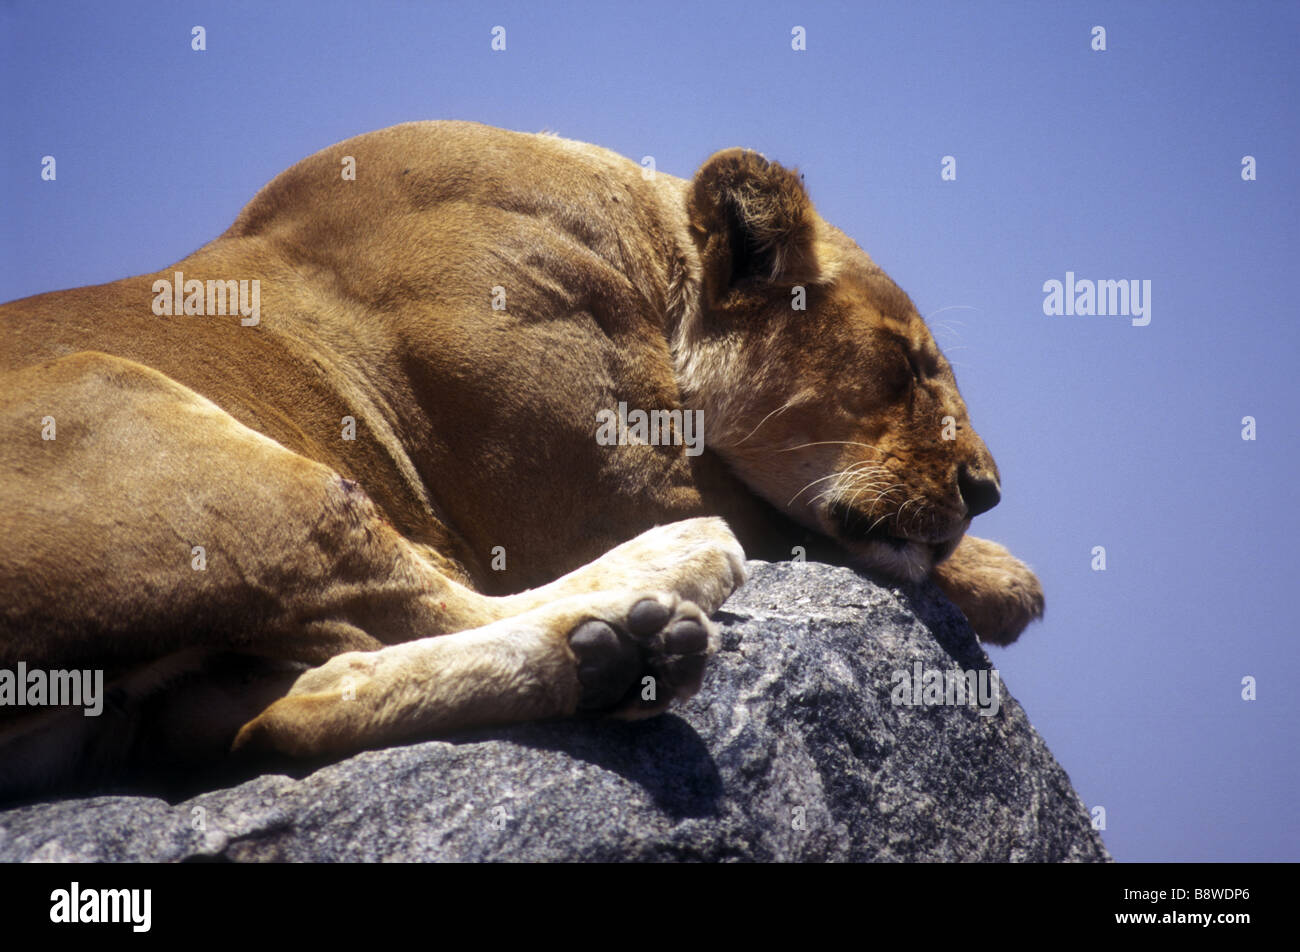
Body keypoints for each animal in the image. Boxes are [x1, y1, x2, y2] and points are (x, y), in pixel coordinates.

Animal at [0, 121, 1042, 797]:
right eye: (907, 367)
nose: (988, 490)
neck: (642, 259)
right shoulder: (610, 494)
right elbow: (799, 522)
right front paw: (1004, 576)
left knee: (293, 709)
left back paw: (619, 662)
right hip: (129, 406)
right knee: (419, 597)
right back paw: (648, 601)